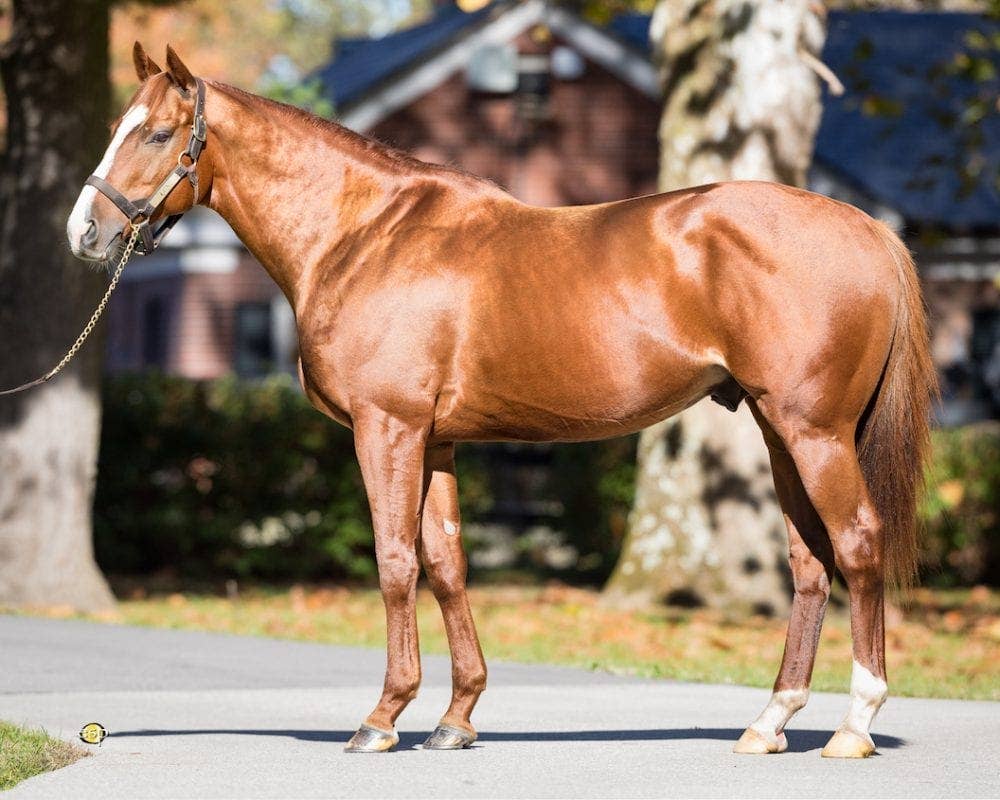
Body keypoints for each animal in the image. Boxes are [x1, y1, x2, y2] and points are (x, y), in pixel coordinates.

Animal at [67, 43, 937, 757]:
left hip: (814, 431)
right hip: (778, 430)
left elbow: (395, 561)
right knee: (810, 562)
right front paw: (456, 719)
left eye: (155, 134)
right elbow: (448, 563)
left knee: (857, 545)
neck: (363, 235)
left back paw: (855, 724)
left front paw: (382, 719)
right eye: (116, 126)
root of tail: (867, 229)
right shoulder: (437, 440)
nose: (84, 233)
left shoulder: (388, 429)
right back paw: (770, 722)